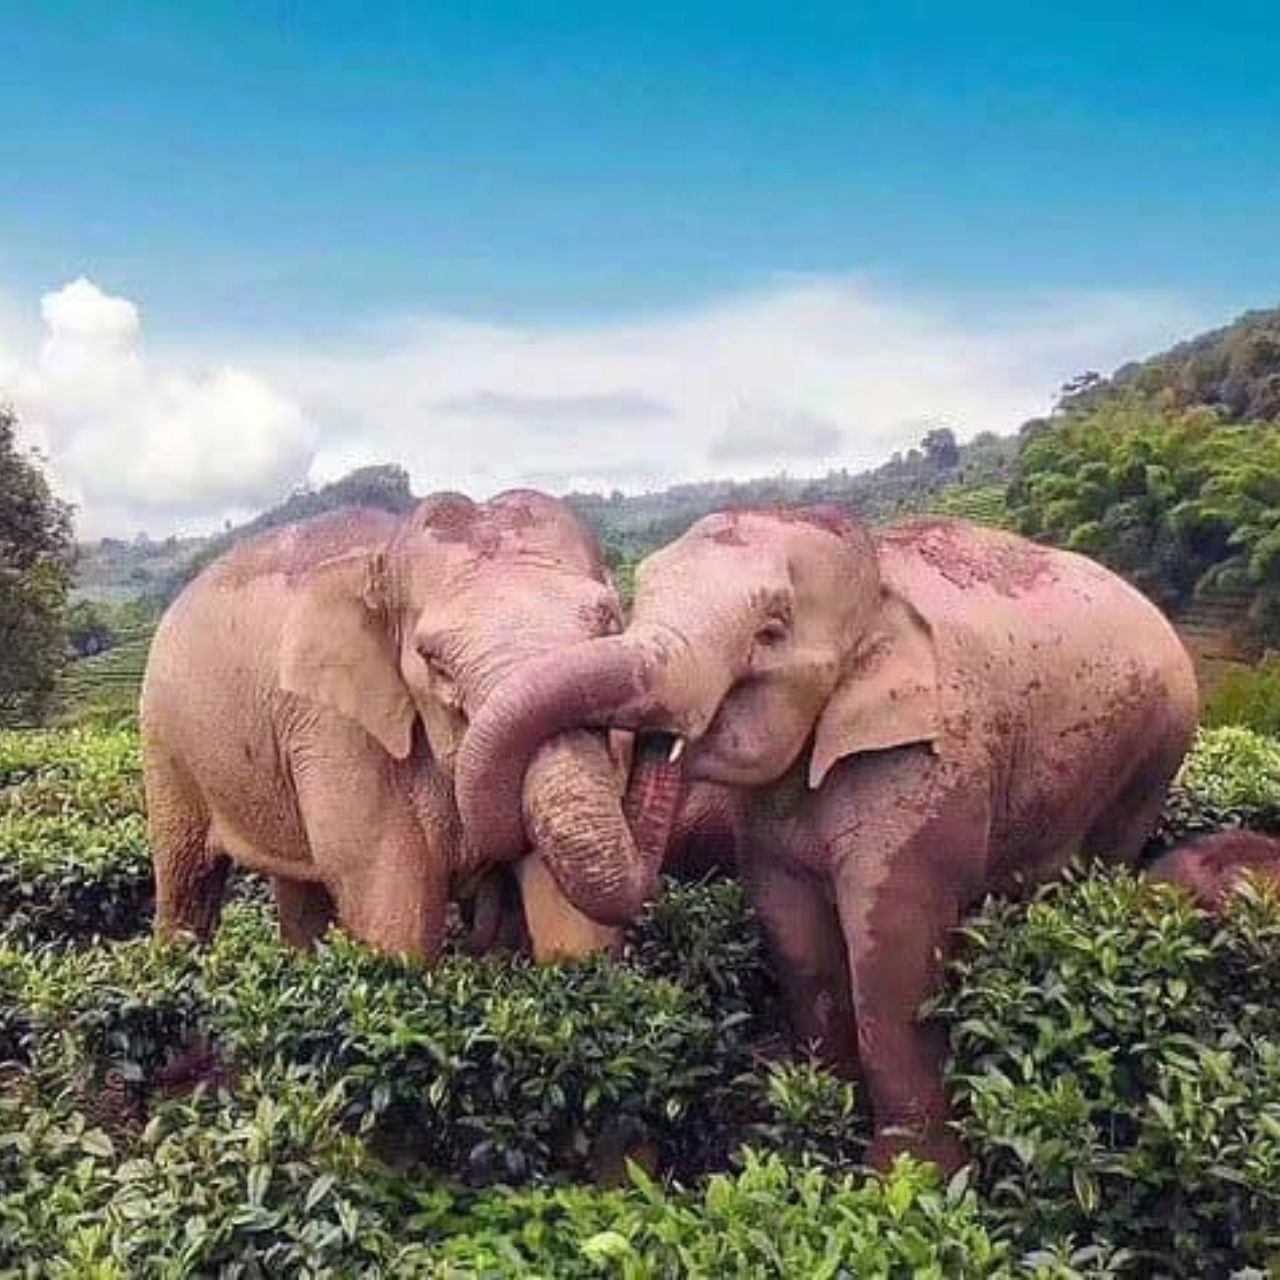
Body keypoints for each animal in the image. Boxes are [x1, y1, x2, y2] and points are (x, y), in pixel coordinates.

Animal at [140, 490, 662, 963]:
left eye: (609, 621)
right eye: (436, 664)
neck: (383, 556)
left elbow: (573, 929)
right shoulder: (336, 726)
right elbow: (391, 920)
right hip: (164, 741)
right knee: (186, 874)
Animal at [457, 510, 1200, 1171]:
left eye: (769, 632)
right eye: (631, 602)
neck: (874, 578)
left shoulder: (928, 761)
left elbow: (892, 947)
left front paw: (910, 1173)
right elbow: (794, 932)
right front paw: (815, 1120)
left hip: (1154, 754)